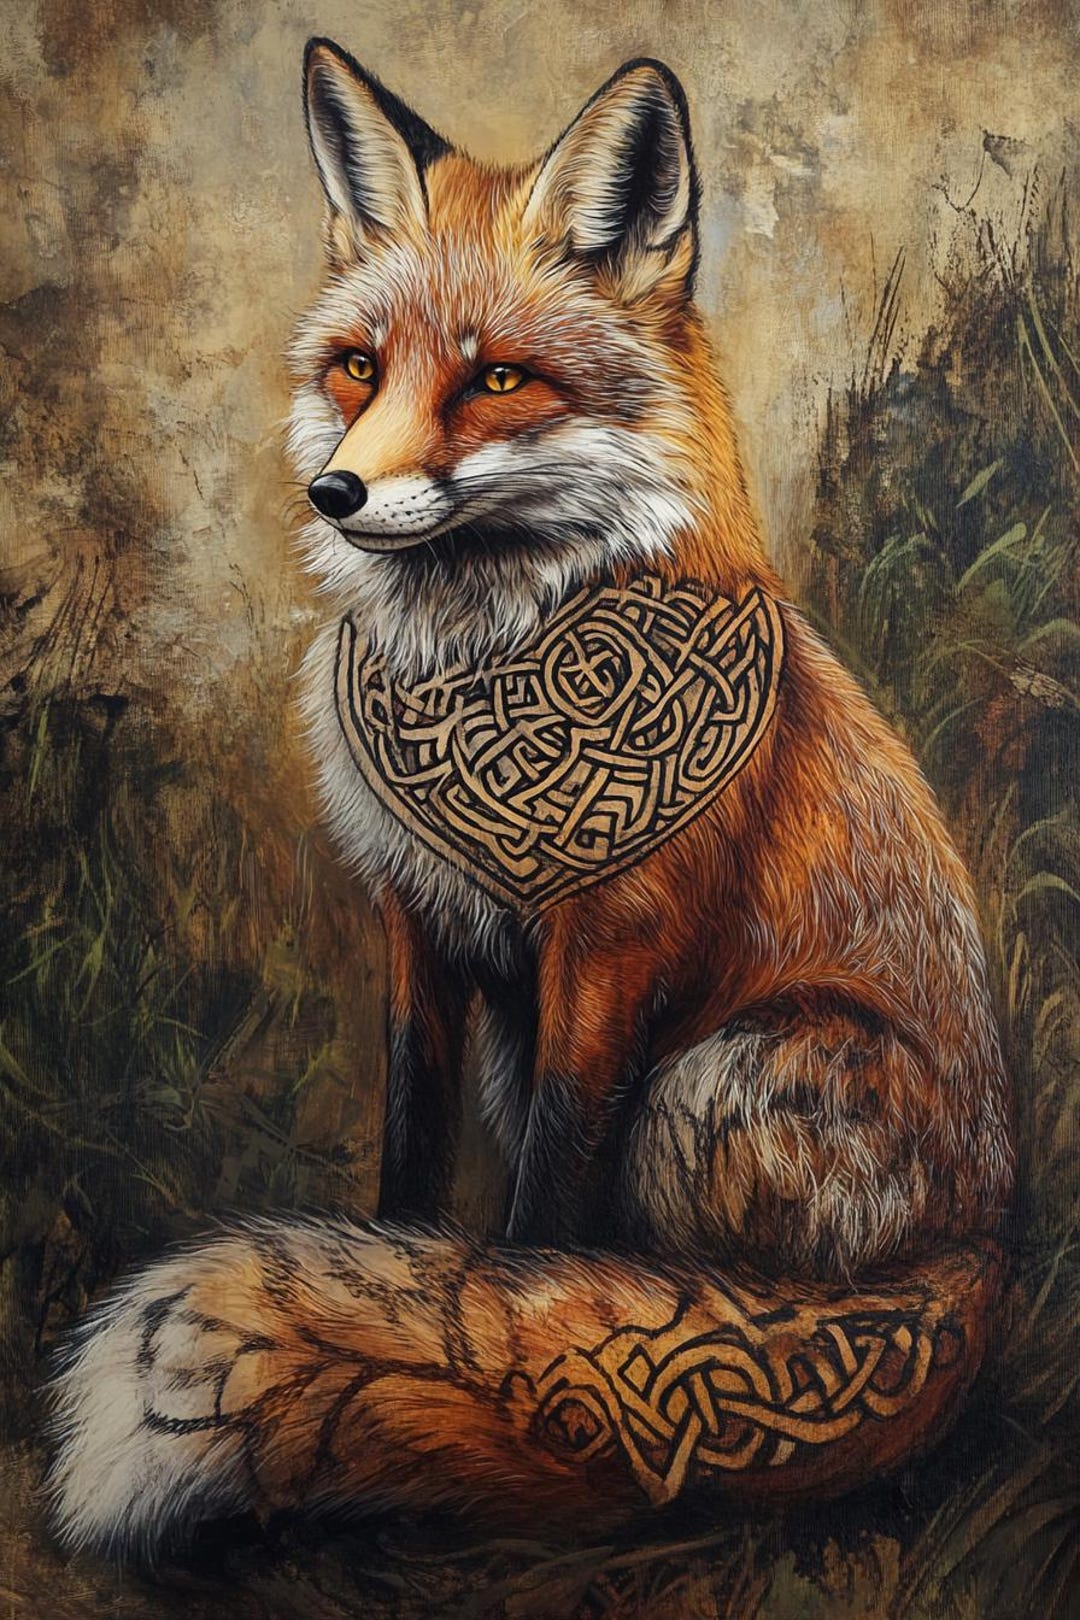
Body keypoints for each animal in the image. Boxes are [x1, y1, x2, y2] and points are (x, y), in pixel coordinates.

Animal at [48, 39, 1013, 1555]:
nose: (334, 492)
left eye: (498, 377)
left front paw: (507, 1343)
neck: (485, 671)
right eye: (359, 367)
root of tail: (989, 1248)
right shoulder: (418, 926)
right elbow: (408, 1151)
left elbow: (543, 1221)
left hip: (716, 1078)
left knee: (745, 1302)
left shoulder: (610, 948)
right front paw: (411, 1282)